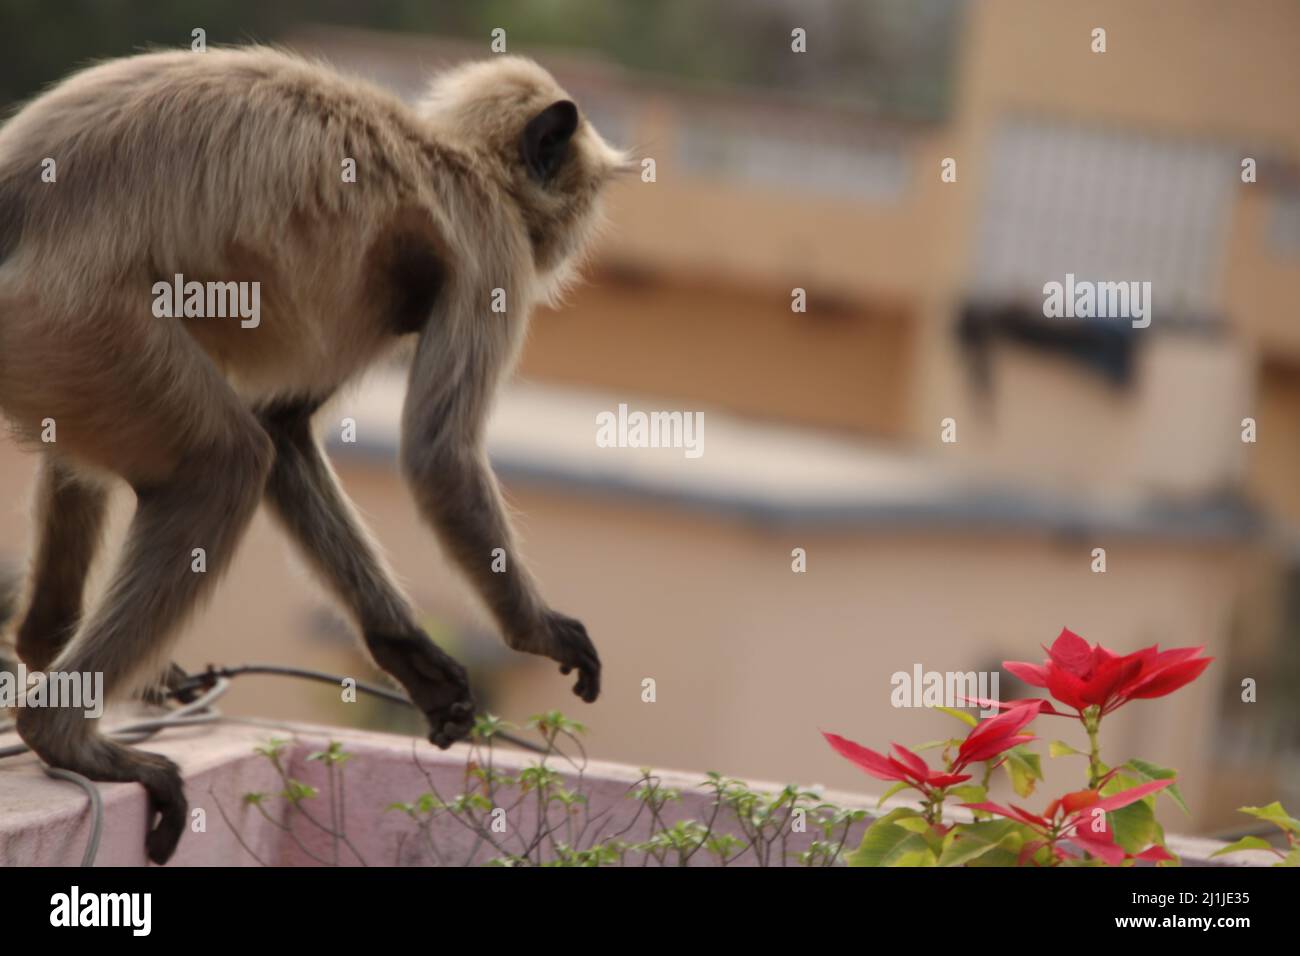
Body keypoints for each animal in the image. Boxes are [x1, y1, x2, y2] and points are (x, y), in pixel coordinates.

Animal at [0, 46, 626, 863]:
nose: (576, 241)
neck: (453, 158)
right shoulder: (494, 253)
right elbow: (438, 457)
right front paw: (538, 630)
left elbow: (288, 423)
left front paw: (406, 653)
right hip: (73, 320)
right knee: (227, 464)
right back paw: (64, 733)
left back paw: (47, 641)